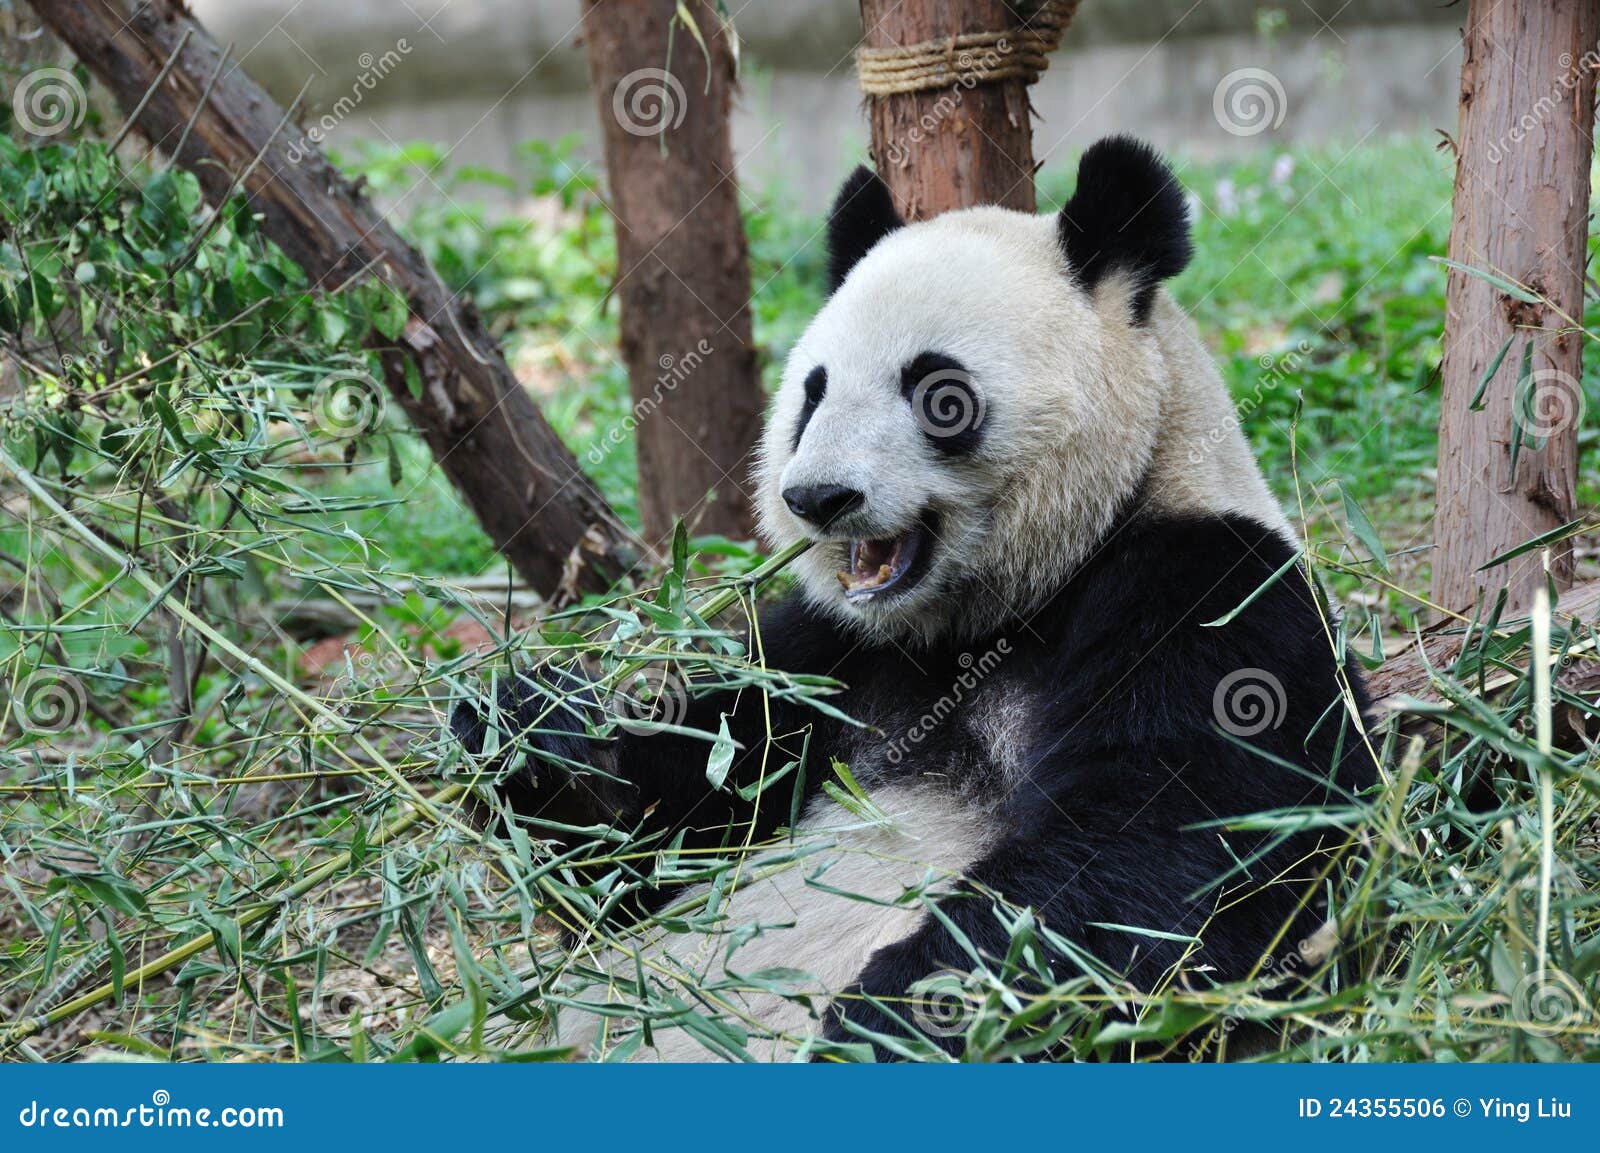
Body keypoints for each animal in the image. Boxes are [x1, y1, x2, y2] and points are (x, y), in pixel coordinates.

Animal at [452, 136, 1375, 1061]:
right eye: (814, 391)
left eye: (940, 394)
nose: (817, 497)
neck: (996, 610)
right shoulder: (830, 652)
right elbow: (666, 830)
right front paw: (532, 736)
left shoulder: (1213, 595)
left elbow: (1159, 857)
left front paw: (883, 1018)